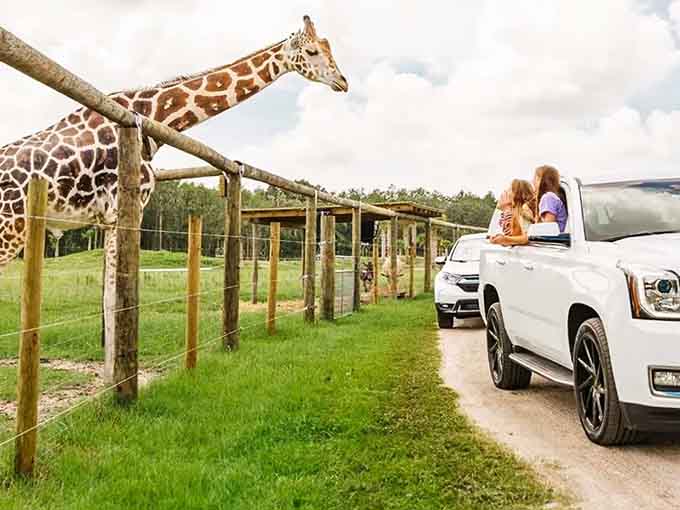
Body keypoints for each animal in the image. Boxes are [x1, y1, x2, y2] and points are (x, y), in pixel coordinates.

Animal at [0, 16, 347, 381]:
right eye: (313, 51)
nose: (343, 81)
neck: (152, 116)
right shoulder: (129, 206)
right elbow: (118, 299)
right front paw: (118, 382)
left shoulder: (107, 218)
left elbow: (109, 301)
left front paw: (110, 377)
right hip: (11, 229)